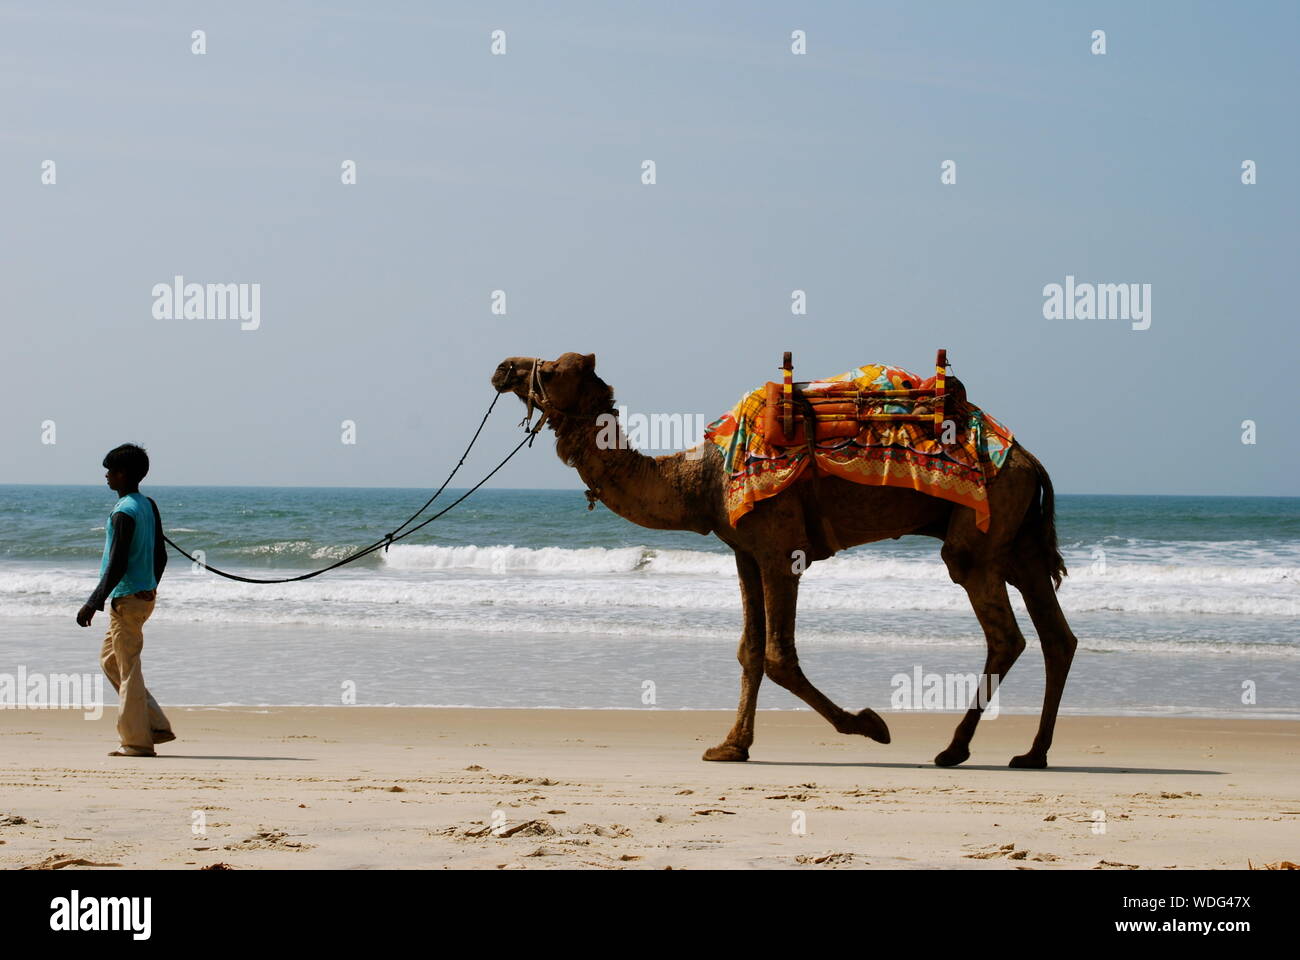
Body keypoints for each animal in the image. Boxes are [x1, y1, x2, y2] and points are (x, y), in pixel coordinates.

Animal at [491, 352, 1078, 768]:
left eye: (552, 369)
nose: (503, 367)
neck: (698, 480)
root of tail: (1032, 460)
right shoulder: (745, 554)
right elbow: (750, 651)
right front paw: (730, 746)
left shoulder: (779, 548)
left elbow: (778, 656)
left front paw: (870, 725)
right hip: (1018, 541)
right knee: (1056, 636)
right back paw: (1032, 754)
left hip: (982, 525)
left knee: (1005, 632)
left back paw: (954, 750)